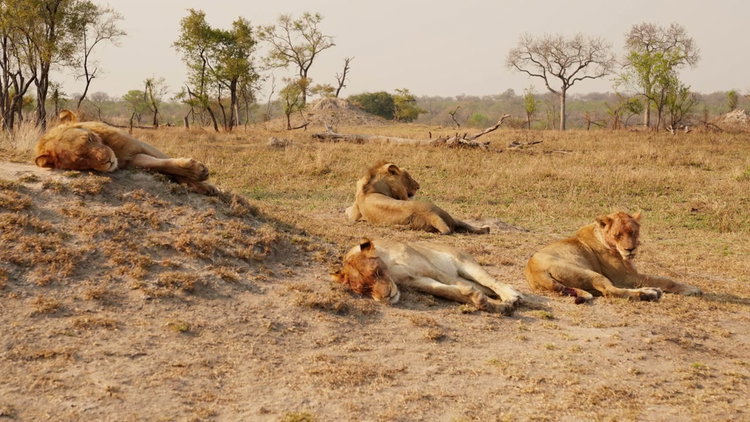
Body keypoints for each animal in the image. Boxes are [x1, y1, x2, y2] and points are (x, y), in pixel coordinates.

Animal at [34, 110, 216, 195]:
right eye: (81, 159)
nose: (108, 160)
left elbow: (166, 160)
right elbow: (162, 165)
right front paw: (197, 180)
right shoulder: (133, 159)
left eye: (90, 139)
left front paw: (201, 178)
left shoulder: (139, 146)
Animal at [331, 238, 523, 315]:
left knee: (490, 281)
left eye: (377, 272)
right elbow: (447, 291)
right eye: (364, 288)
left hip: (465, 263)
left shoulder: (431, 269)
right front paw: (491, 305)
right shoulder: (417, 281)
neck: (390, 267)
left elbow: (456, 285)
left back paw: (514, 296)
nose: (385, 297)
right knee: (482, 286)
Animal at [345, 161, 489, 234]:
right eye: (408, 177)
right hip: (448, 215)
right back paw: (485, 228)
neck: (370, 187)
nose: (419, 186)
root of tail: (430, 214)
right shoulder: (354, 214)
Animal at [524, 211, 702, 303]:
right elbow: (664, 279)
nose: (630, 249)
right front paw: (691, 289)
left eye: (633, 232)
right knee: (610, 291)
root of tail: (534, 271)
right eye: (617, 235)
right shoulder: (626, 278)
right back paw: (648, 293)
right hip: (590, 273)